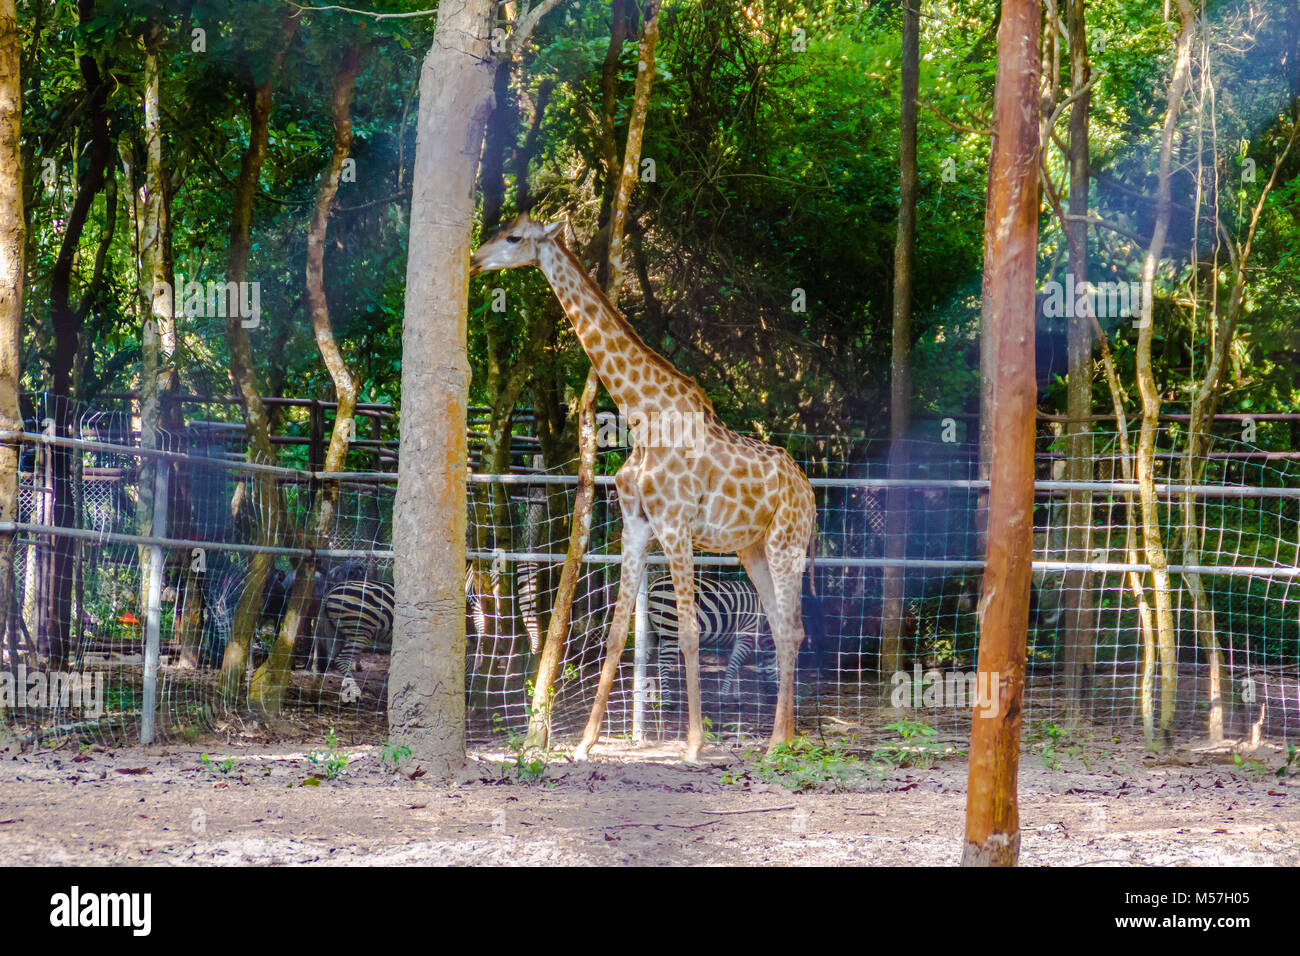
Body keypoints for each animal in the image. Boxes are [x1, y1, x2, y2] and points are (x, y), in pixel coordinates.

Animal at [469, 213, 818, 761]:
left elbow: (690, 633)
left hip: (788, 543)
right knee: (784, 628)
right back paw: (779, 741)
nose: (475, 259)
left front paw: (693, 745)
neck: (642, 414)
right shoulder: (635, 524)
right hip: (754, 548)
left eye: (514, 237)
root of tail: (810, 492)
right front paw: (584, 746)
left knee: (792, 627)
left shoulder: (675, 525)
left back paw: (777, 744)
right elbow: (615, 635)